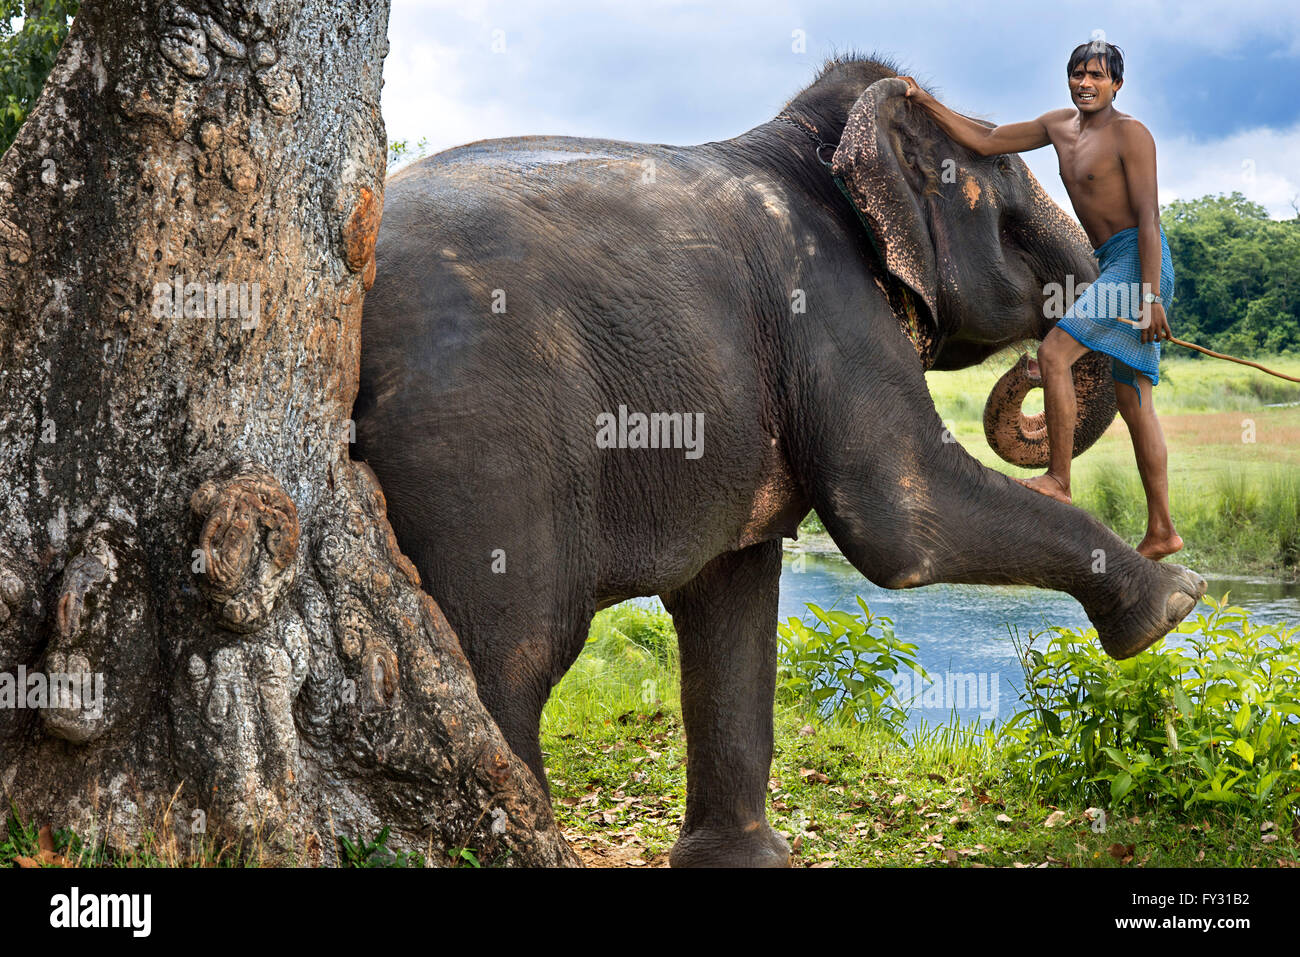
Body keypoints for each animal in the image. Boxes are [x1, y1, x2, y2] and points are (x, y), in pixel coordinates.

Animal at [352, 55, 1206, 867]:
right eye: (1012, 182)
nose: (1031, 365)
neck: (806, 141)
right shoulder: (826, 303)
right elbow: (902, 520)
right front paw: (1175, 601)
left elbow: (733, 592)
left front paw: (743, 861)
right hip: (479, 425)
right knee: (512, 652)